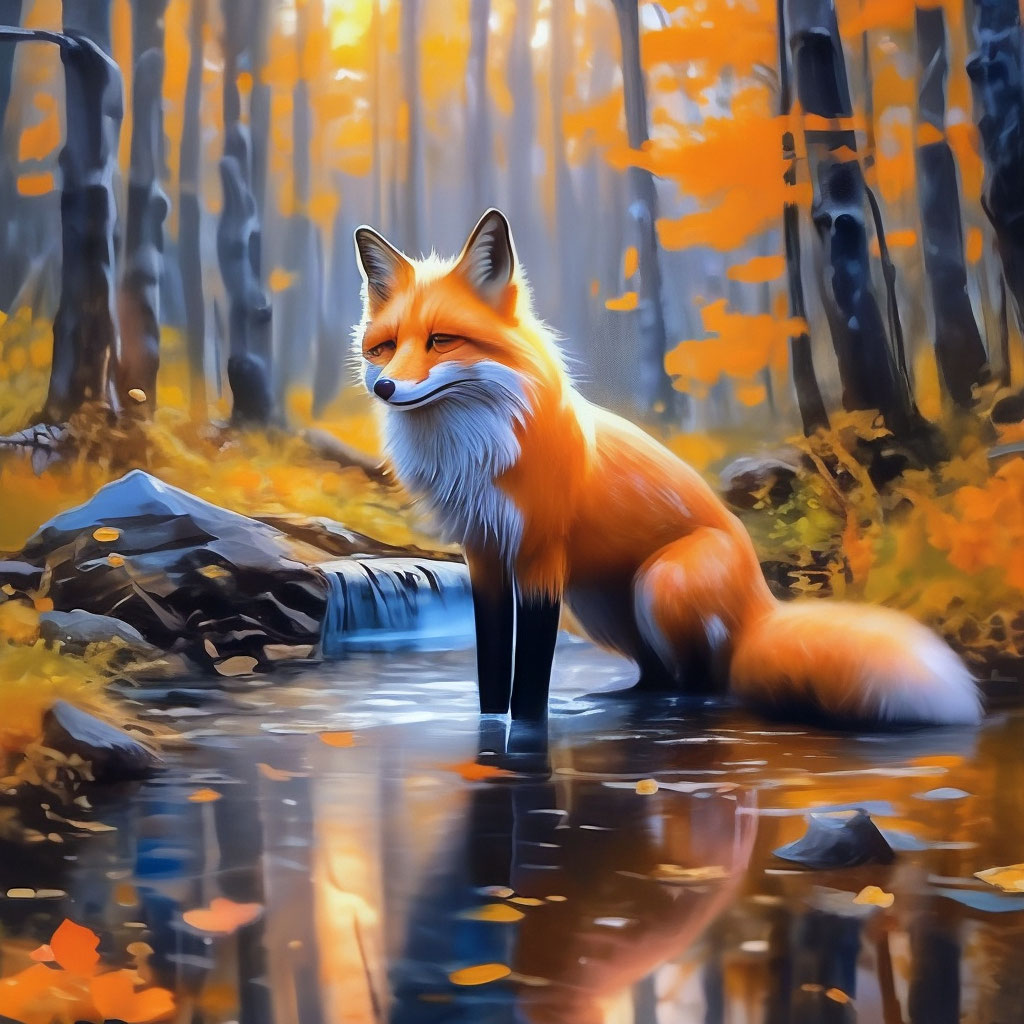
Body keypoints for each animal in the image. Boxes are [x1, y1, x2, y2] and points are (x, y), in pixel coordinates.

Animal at [352, 208, 981, 726]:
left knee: (709, 679)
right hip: (598, 603)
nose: (384, 388)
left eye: (442, 340)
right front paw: (490, 731)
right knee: (658, 673)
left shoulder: (539, 559)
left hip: (660, 582)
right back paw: (620, 699)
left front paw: (524, 738)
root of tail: (763, 605)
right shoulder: (483, 554)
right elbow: (490, 673)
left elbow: (528, 683)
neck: (475, 448)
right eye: (384, 348)